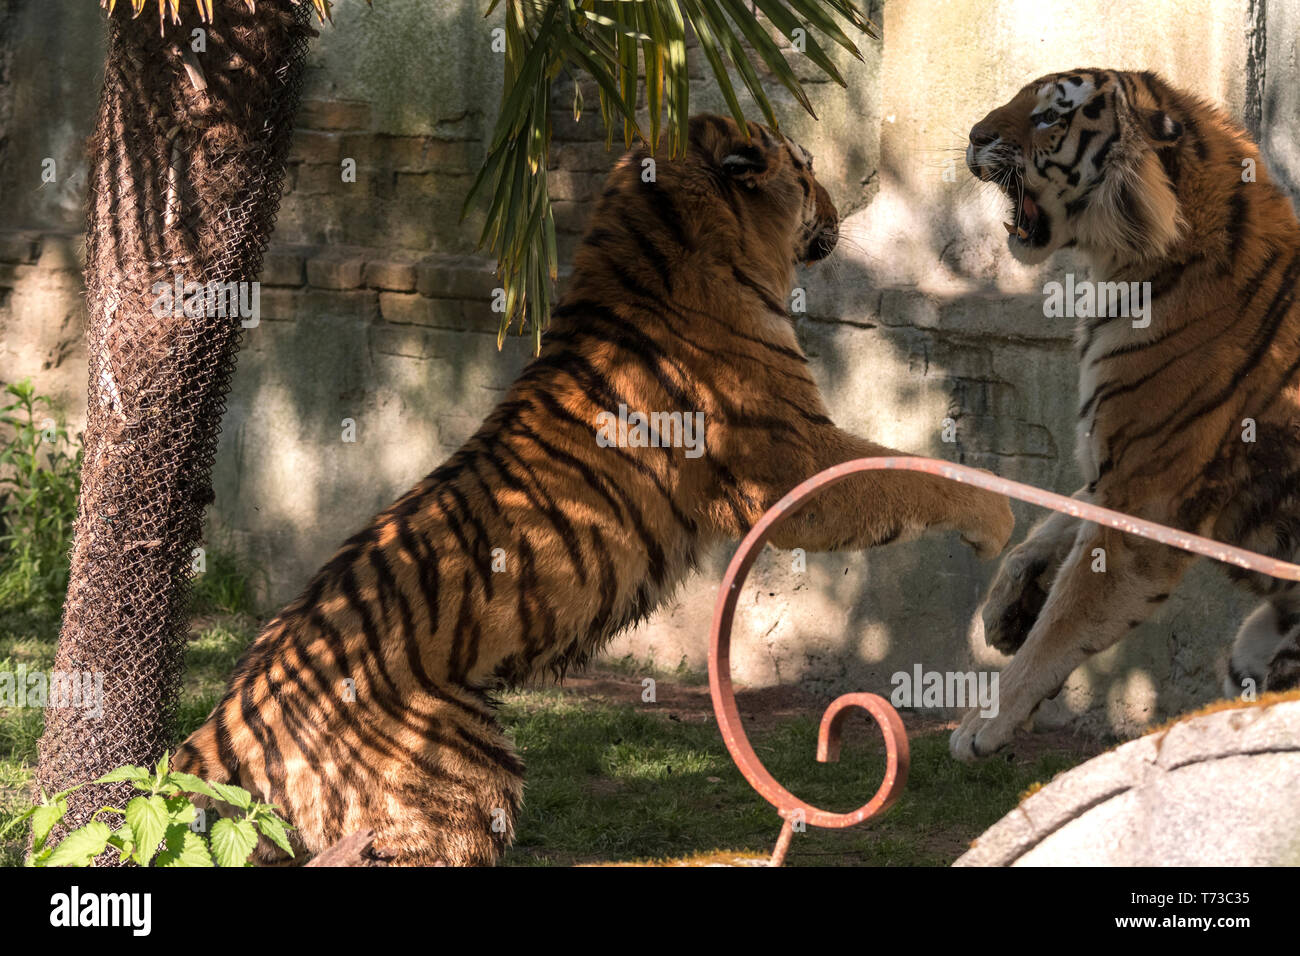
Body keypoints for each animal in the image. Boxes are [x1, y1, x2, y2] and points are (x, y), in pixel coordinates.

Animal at [172, 113, 1014, 865]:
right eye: (805, 169)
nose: (839, 208)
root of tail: (233, 709)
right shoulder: (795, 461)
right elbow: (900, 471)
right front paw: (998, 517)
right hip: (461, 784)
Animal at [953, 67, 1300, 762]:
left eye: (1048, 117)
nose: (973, 136)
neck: (1127, 266)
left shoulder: (1145, 499)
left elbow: (1065, 620)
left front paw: (984, 725)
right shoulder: (1111, 464)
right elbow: (1048, 528)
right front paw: (1004, 612)